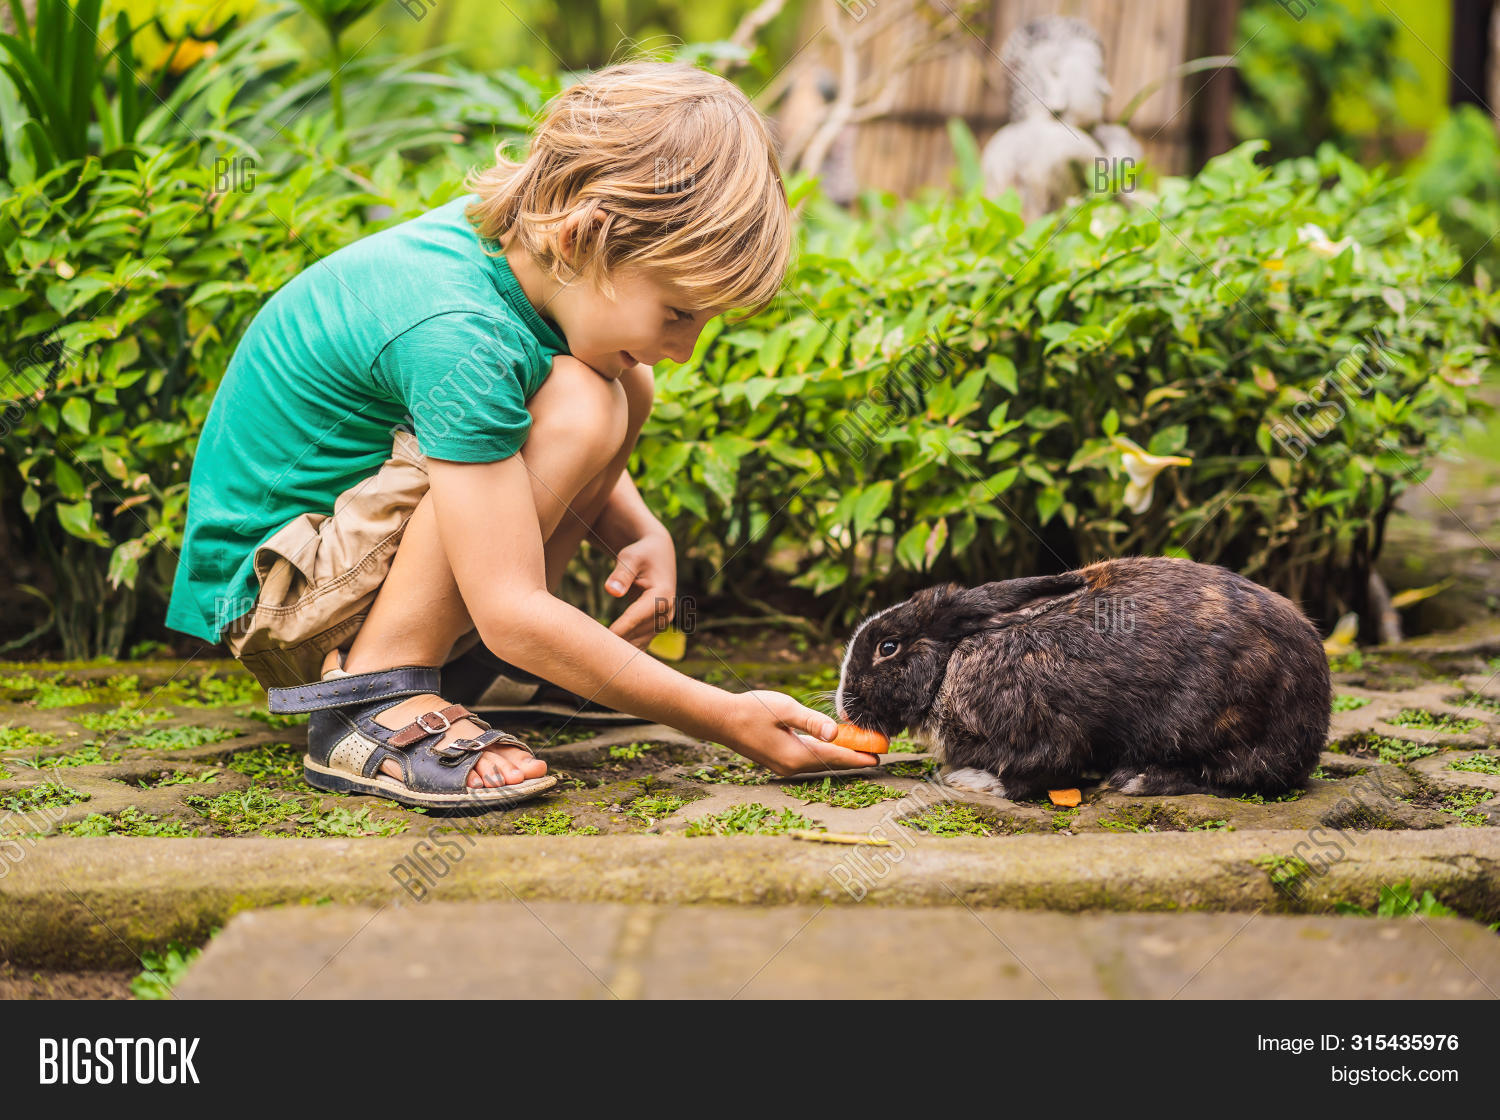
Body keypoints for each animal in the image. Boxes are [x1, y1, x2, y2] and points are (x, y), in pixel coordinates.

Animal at [834, 556, 1330, 800]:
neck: (953, 659)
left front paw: (971, 781)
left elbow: (1040, 775)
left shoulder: (1049, 738)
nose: (842, 704)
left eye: (888, 647)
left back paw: (1138, 780)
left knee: (1234, 778)